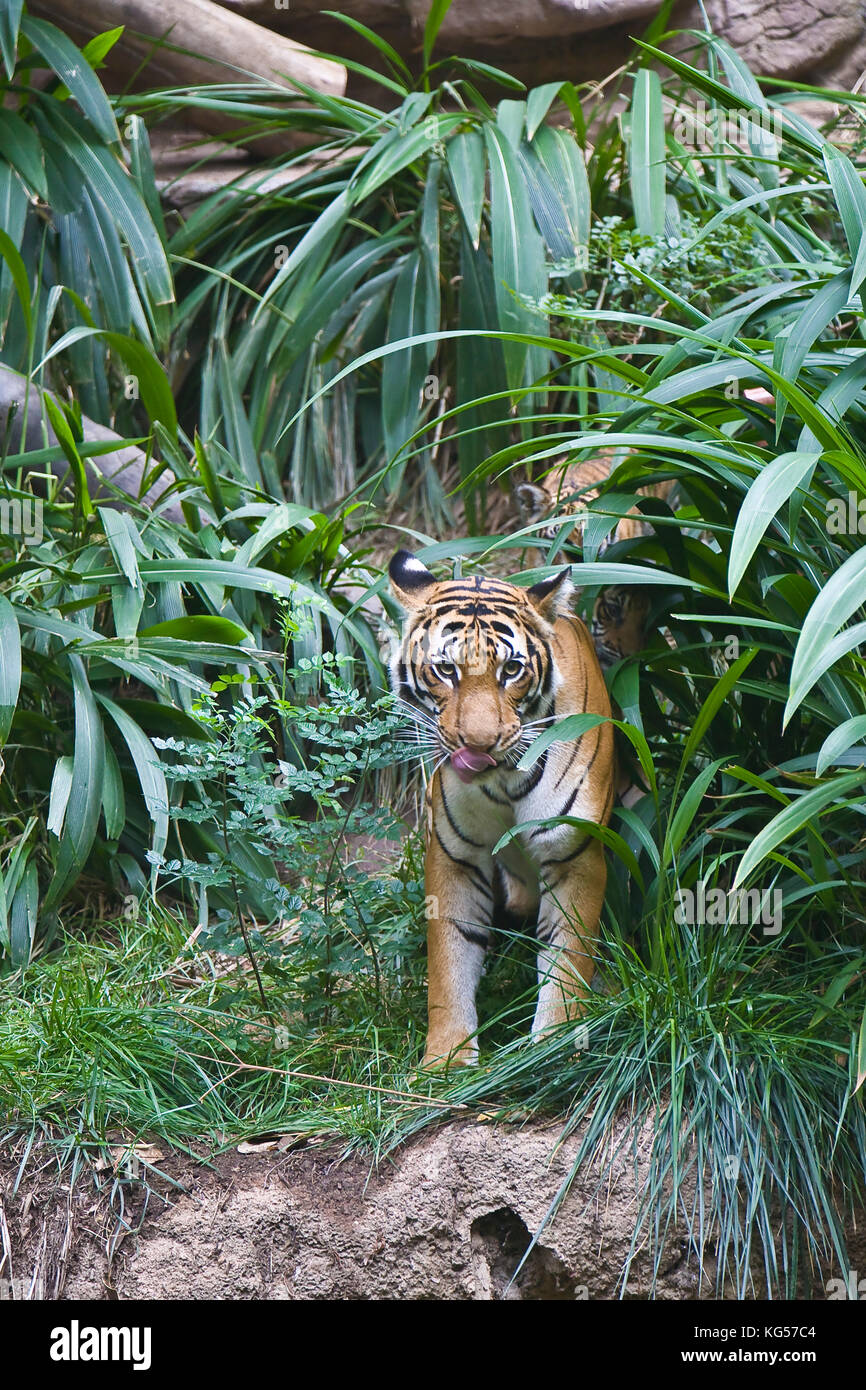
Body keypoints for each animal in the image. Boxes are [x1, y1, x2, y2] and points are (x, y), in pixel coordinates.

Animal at [389, 548, 614, 1068]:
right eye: (445, 670)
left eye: (511, 670)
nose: (478, 745)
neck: (504, 780)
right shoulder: (455, 855)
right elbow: (449, 957)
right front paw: (447, 1059)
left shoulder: (573, 854)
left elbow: (568, 960)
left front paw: (555, 1048)